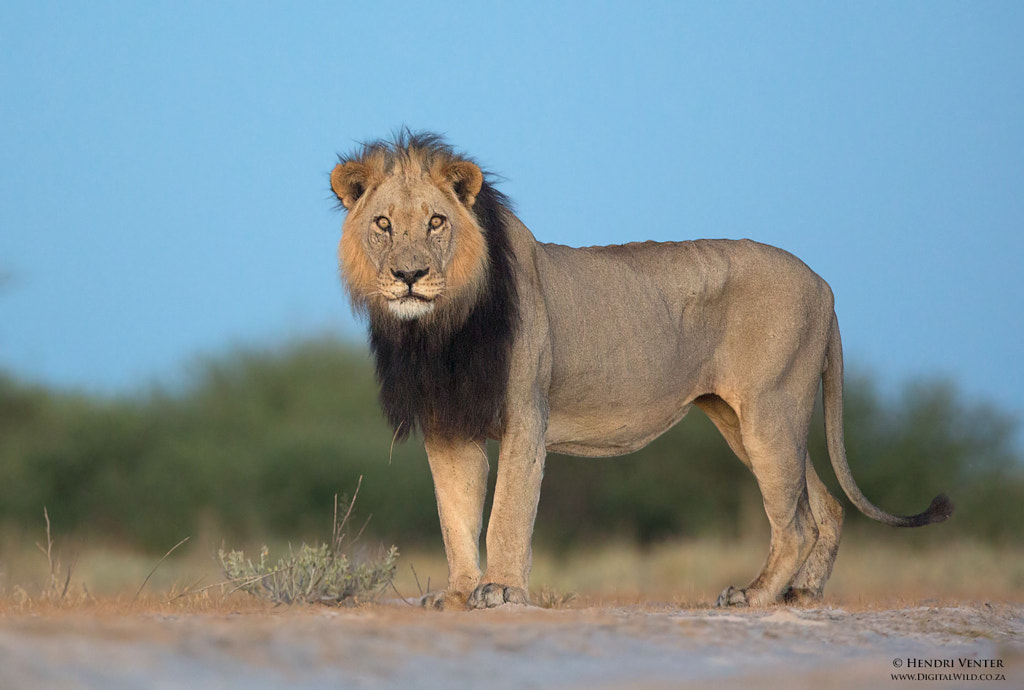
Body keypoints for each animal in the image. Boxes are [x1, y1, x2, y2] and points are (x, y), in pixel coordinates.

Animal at [330, 131, 952, 609]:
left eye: (437, 221)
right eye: (383, 224)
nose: (409, 276)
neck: (437, 332)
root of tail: (824, 285)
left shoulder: (526, 412)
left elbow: (507, 509)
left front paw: (502, 590)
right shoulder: (448, 424)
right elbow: (455, 515)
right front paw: (459, 592)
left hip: (770, 412)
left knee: (795, 522)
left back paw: (753, 595)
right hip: (745, 420)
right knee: (824, 508)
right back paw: (802, 594)